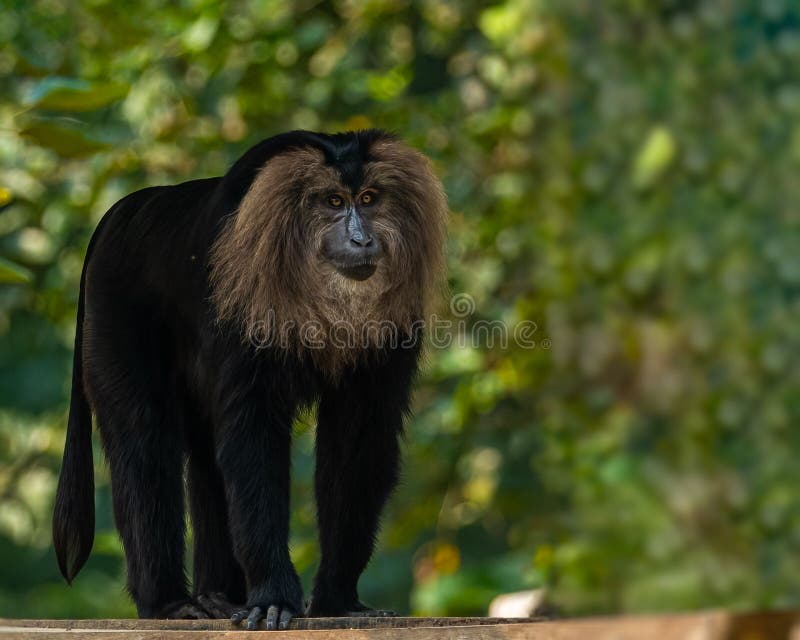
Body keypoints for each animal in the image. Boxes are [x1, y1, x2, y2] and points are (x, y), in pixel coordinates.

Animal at [52, 129, 447, 630]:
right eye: (334, 201)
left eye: (370, 199)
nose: (361, 239)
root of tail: (124, 211)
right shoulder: (247, 314)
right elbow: (251, 444)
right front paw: (274, 597)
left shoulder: (393, 335)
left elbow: (357, 445)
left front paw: (337, 600)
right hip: (113, 315)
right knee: (143, 444)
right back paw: (168, 603)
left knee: (204, 459)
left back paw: (217, 596)